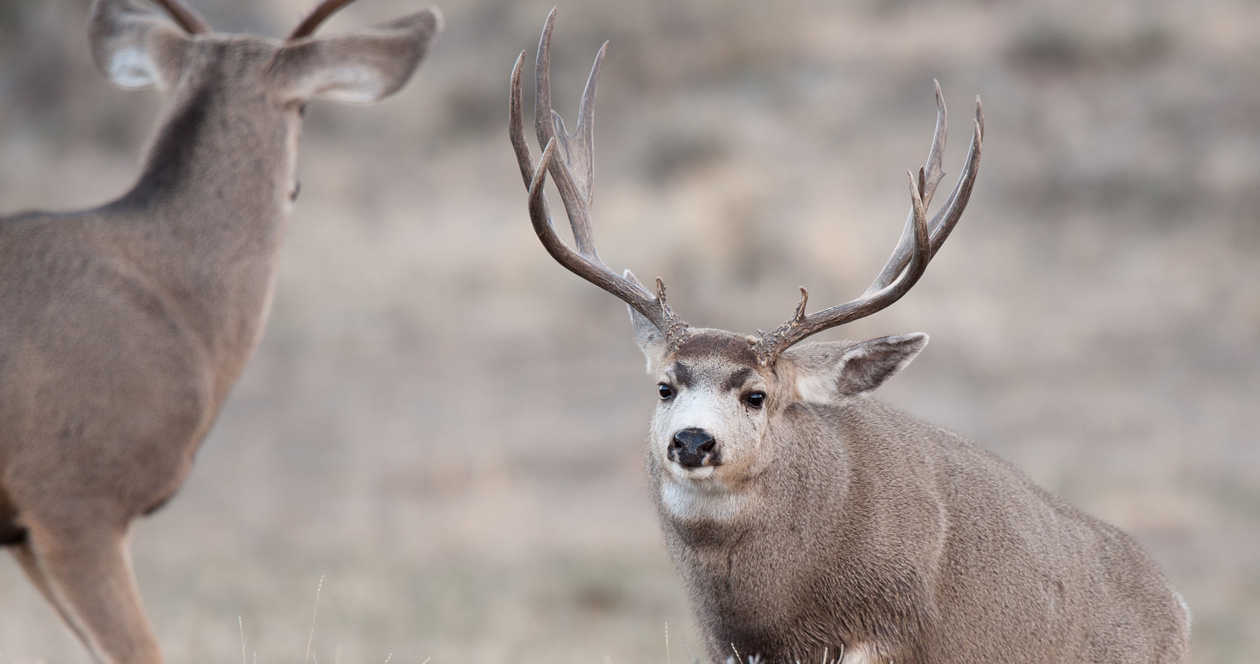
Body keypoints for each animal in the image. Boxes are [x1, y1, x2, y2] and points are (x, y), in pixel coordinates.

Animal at [510, 11, 1190, 664]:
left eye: (756, 395)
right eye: (664, 387)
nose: (694, 440)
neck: (776, 614)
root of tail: (1177, 606)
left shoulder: (892, 624)